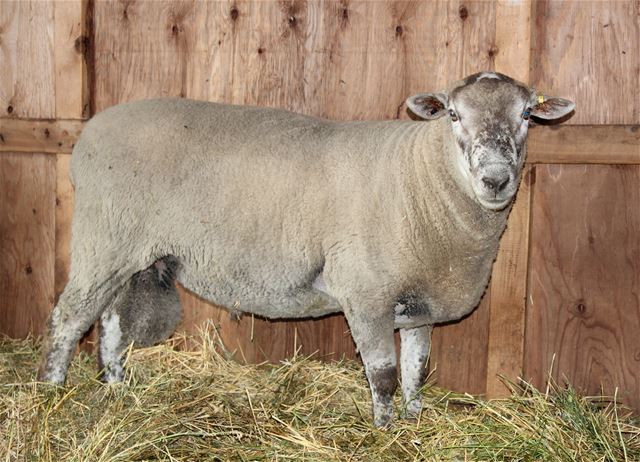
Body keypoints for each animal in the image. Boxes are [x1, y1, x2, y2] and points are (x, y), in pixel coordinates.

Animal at [38, 71, 574, 427]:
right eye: (454, 114)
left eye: (527, 114)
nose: (496, 180)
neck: (420, 177)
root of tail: (91, 131)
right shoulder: (366, 293)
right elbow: (383, 375)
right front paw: (384, 433)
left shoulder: (419, 301)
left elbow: (416, 371)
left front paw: (413, 424)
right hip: (103, 238)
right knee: (69, 318)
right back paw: (49, 393)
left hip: (130, 253)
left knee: (109, 321)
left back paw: (115, 390)